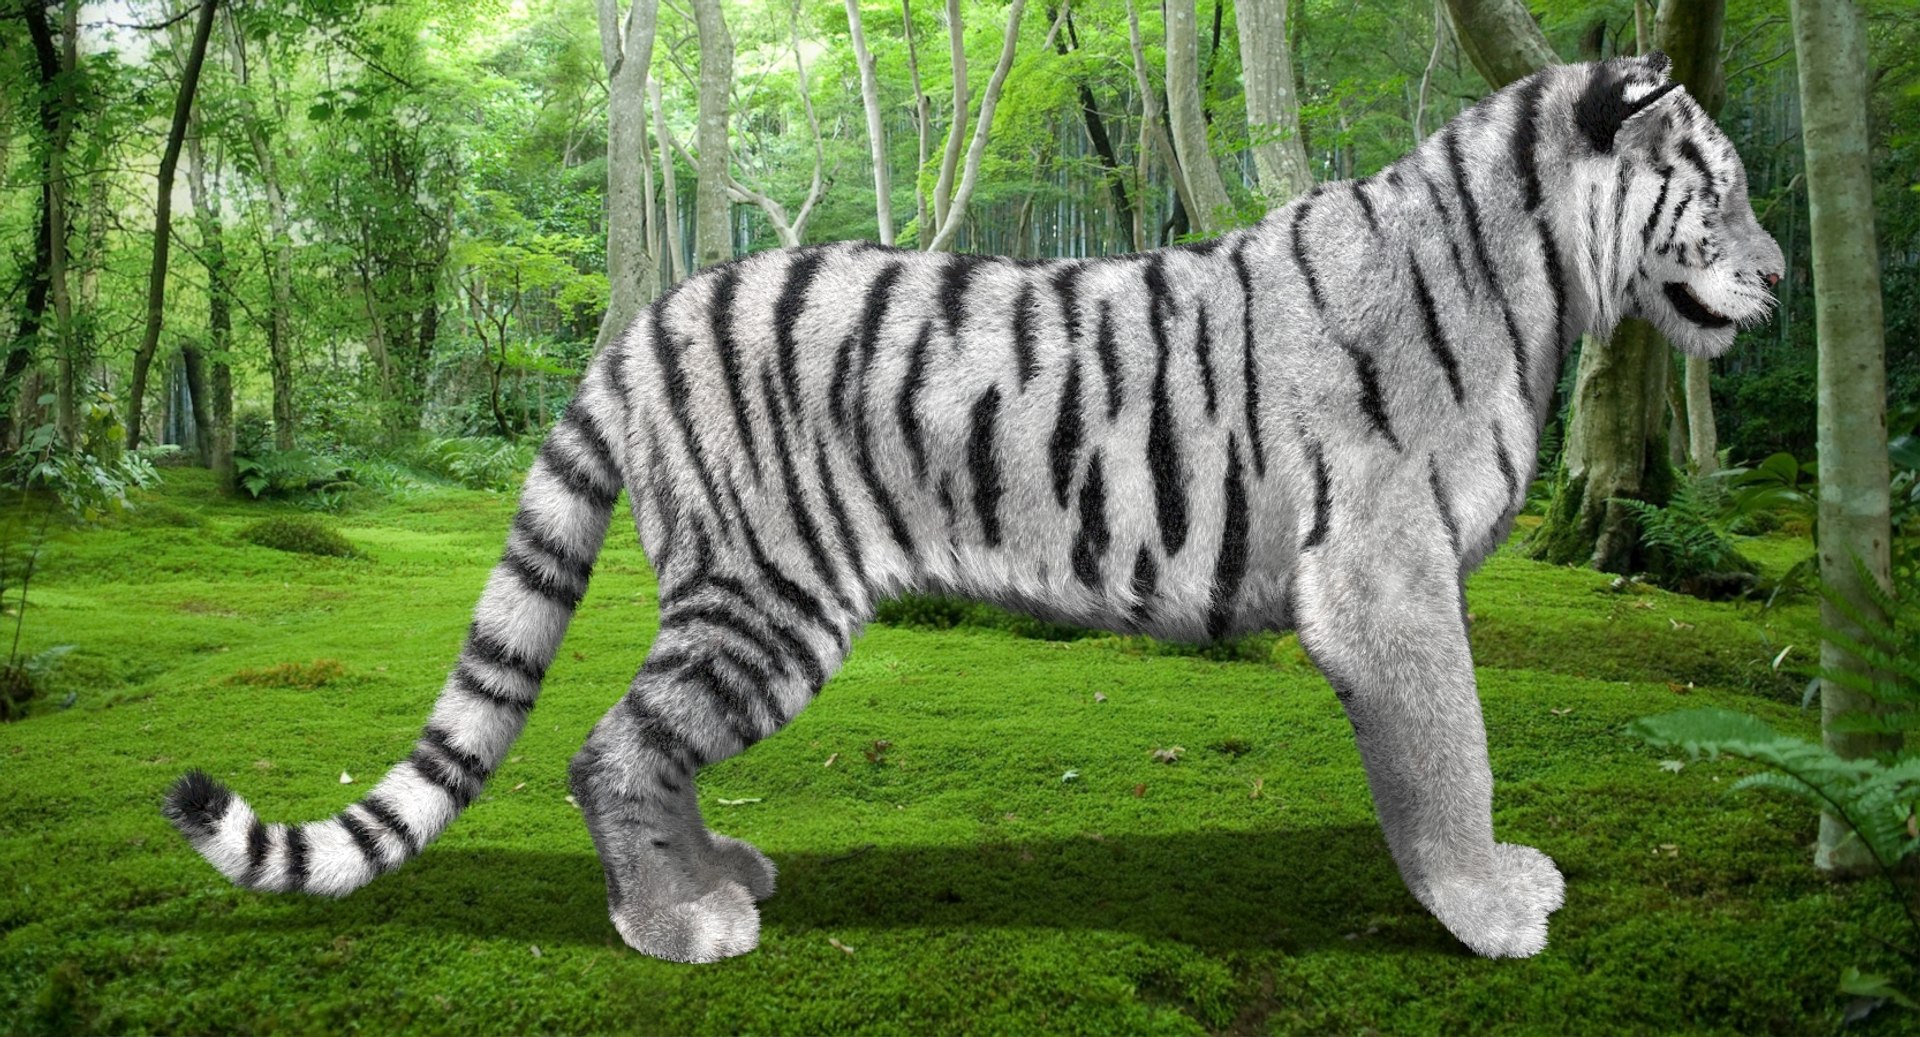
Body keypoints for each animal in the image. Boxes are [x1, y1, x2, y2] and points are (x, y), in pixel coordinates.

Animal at [165, 53, 1783, 963]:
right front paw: (1489, 906)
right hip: (769, 597)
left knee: (640, 745)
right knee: (608, 746)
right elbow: (1453, 755)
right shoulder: (1390, 579)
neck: (1550, 281)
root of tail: (640, 321)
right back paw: (677, 923)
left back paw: (713, 872)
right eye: (1717, 186)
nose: (1778, 275)